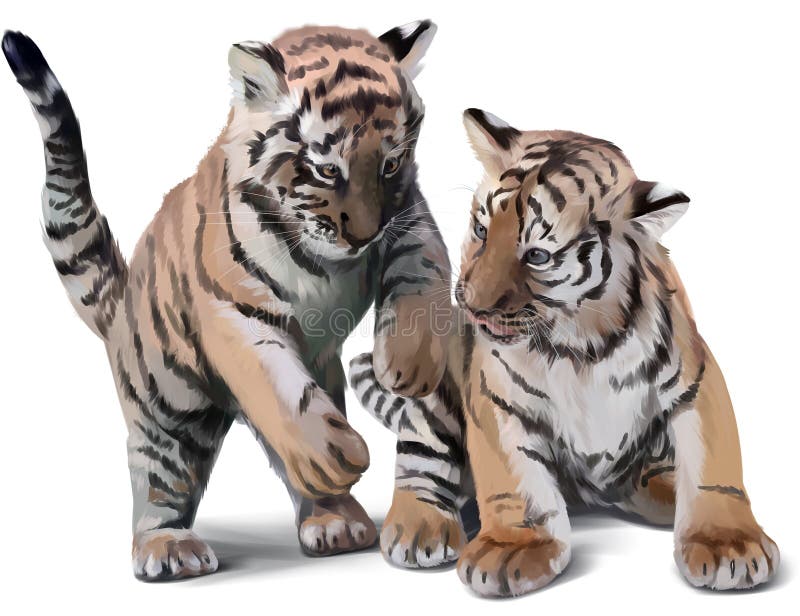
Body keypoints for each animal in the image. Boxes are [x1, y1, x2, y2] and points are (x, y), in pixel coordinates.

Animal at [2, 21, 451, 581]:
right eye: (327, 171)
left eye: (390, 164)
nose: (363, 237)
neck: (330, 259)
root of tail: (121, 302)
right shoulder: (233, 311)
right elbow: (282, 392)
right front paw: (339, 456)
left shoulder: (410, 218)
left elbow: (422, 274)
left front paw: (410, 365)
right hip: (168, 407)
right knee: (158, 478)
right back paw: (170, 547)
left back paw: (336, 520)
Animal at [349, 108, 780, 596]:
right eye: (481, 230)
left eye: (537, 256)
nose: (472, 306)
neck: (581, 344)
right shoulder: (495, 399)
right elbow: (513, 481)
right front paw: (514, 548)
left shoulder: (695, 381)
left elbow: (714, 467)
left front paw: (728, 544)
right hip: (432, 402)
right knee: (418, 464)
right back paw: (418, 529)